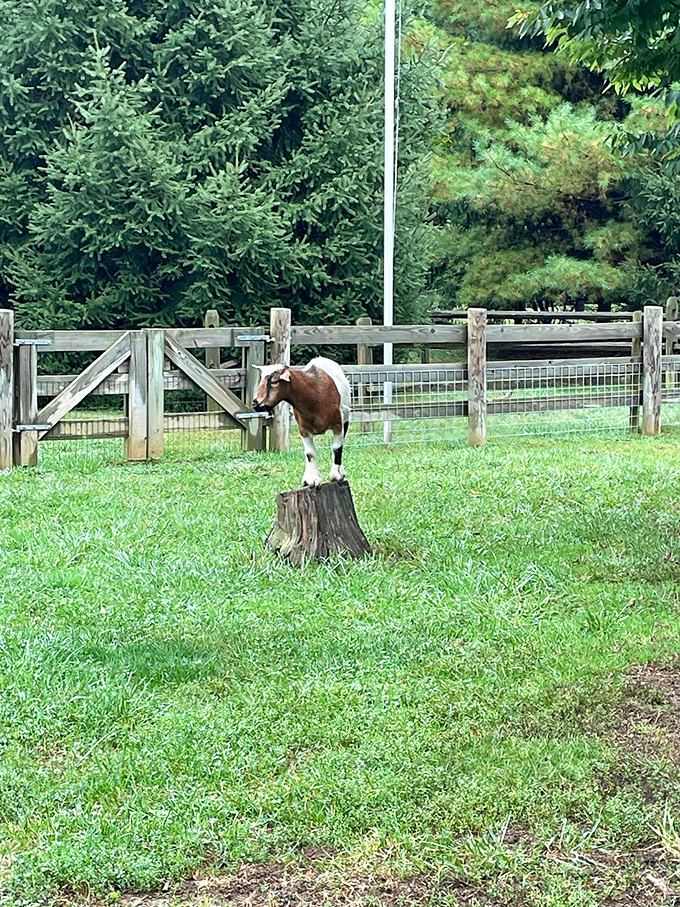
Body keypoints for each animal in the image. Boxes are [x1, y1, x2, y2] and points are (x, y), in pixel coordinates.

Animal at [252, 357, 351, 487]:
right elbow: (310, 453)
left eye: (274, 381)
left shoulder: (338, 425)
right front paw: (311, 479)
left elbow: (336, 448)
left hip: (346, 418)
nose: (255, 403)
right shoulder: (303, 429)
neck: (316, 393)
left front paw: (336, 475)